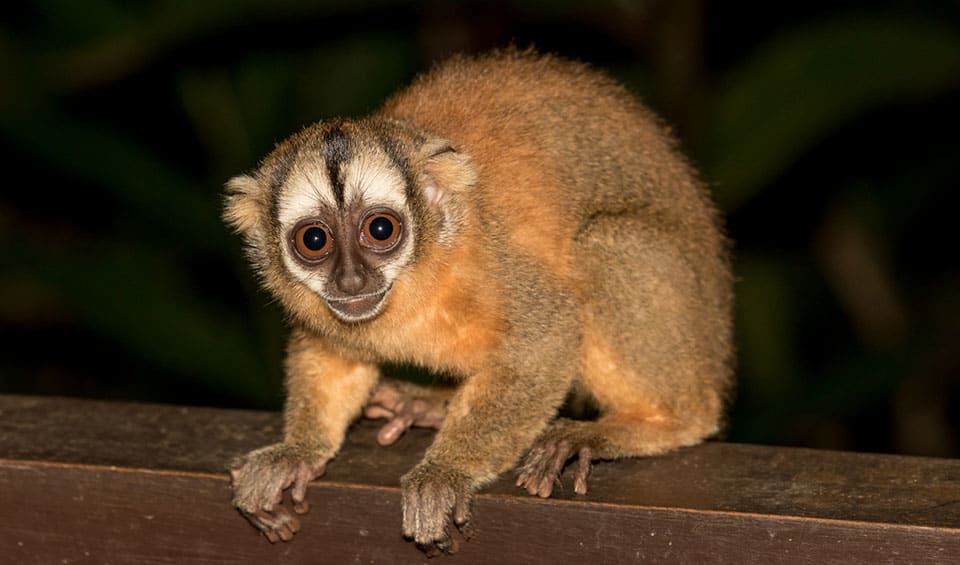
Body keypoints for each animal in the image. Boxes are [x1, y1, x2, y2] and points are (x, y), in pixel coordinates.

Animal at [224, 48, 733, 555]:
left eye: (380, 229)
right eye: (314, 240)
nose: (350, 280)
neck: (414, 281)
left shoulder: (490, 262)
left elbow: (549, 333)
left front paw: (445, 473)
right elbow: (332, 353)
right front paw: (296, 454)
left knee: (603, 242)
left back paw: (659, 423)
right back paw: (430, 405)